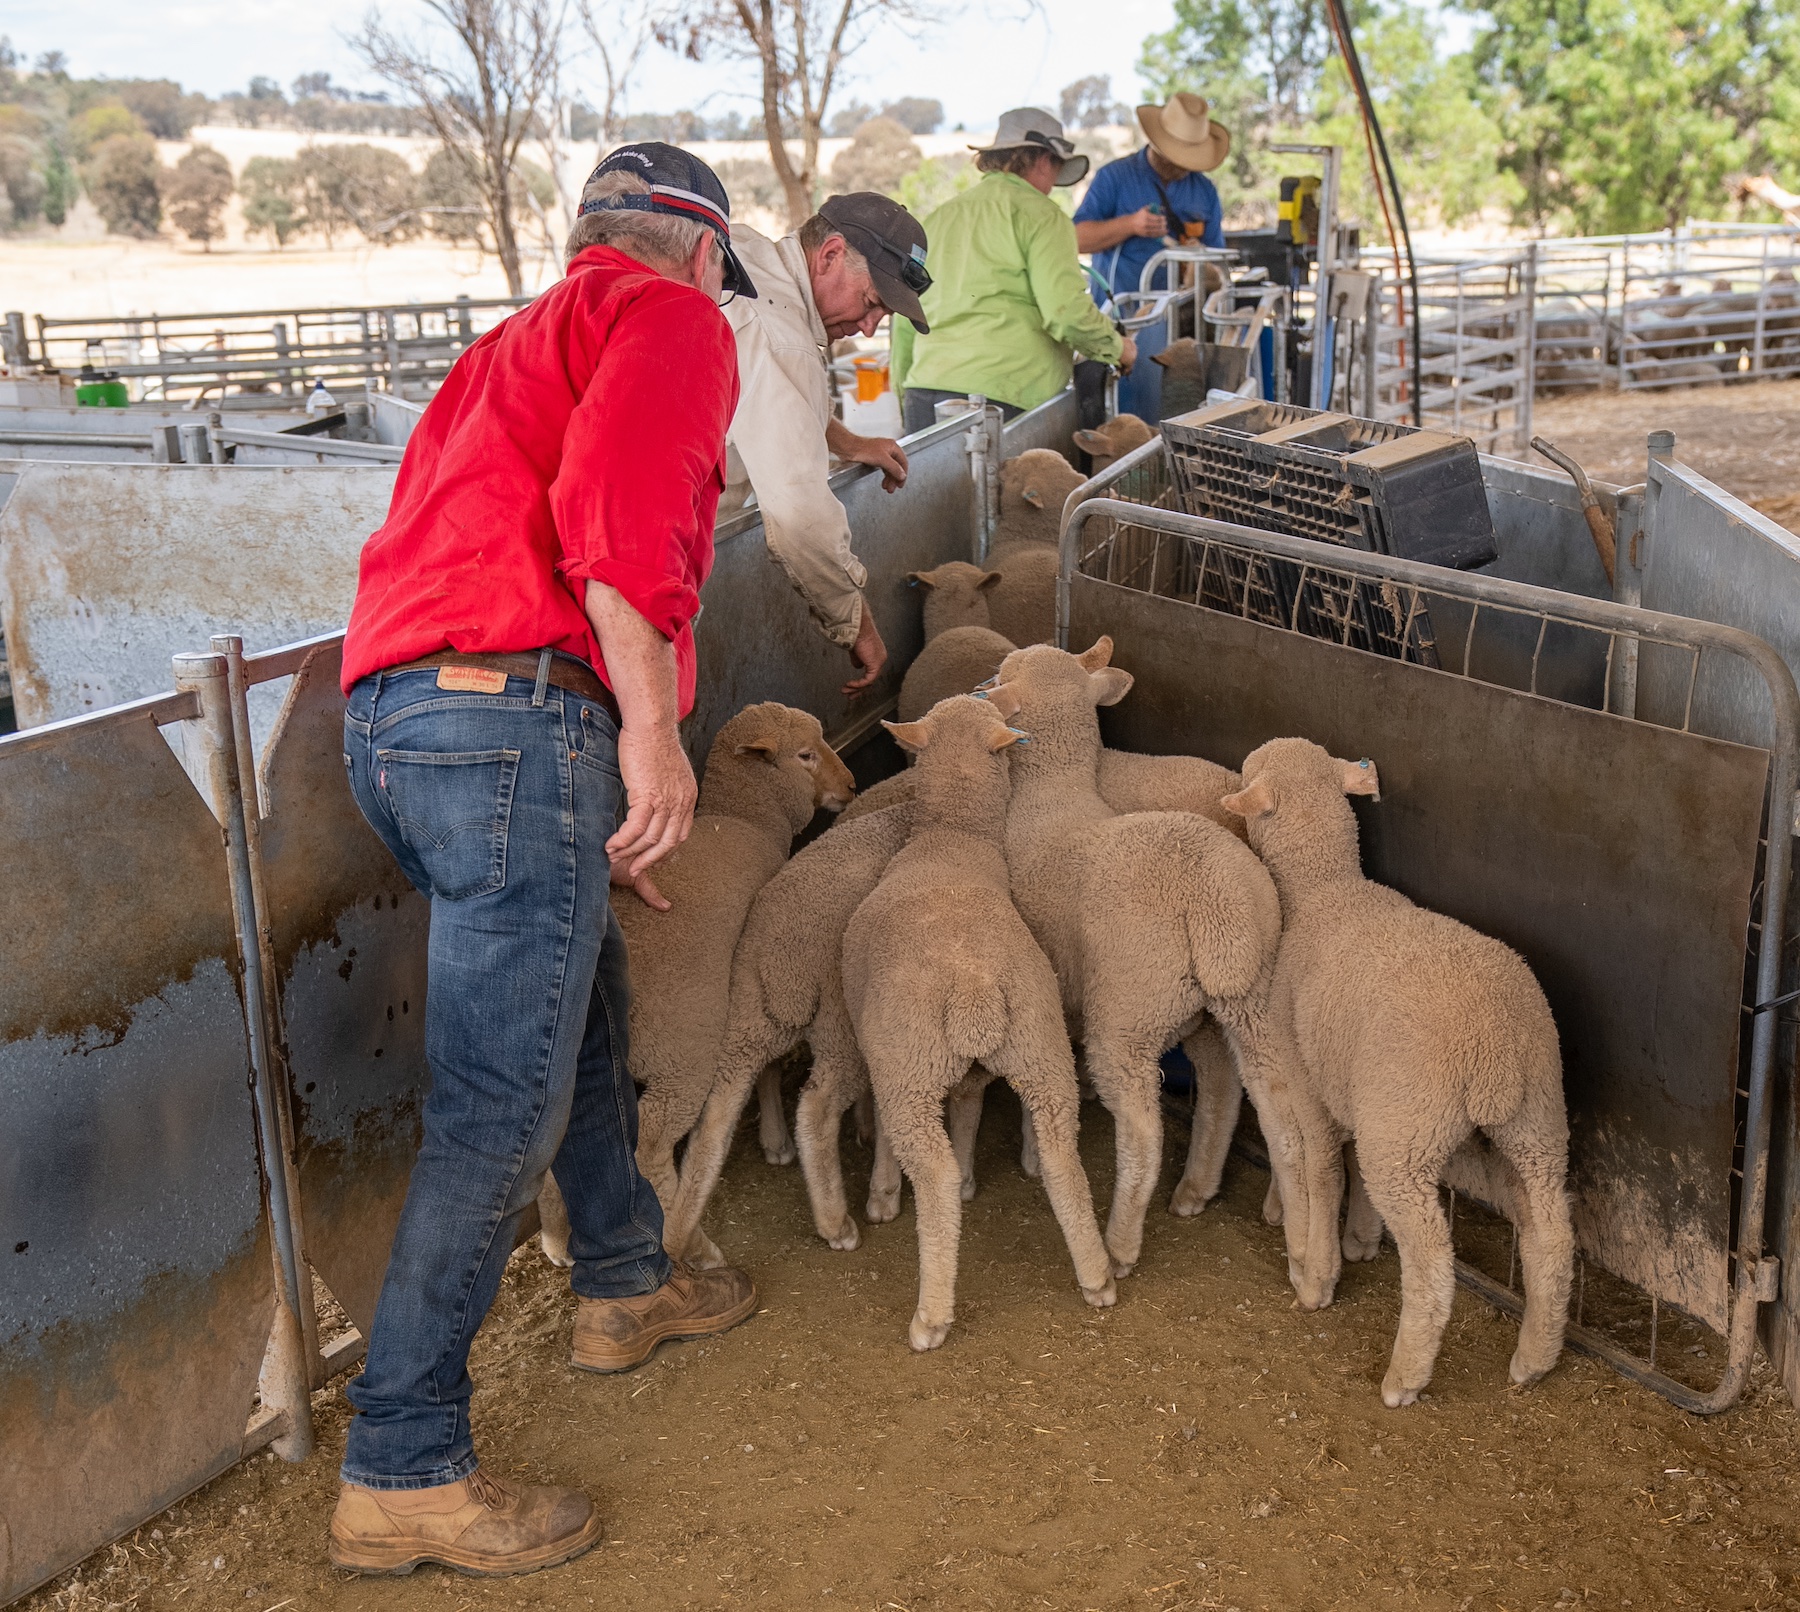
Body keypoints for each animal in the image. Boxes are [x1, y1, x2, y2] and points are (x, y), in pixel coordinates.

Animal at [535, 702, 855, 1267]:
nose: (852, 785)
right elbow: (766, 1064)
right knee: (650, 1145)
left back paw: (556, 1241)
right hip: (682, 1048)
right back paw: (694, 1246)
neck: (748, 817)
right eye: (805, 754)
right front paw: (776, 1138)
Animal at [660, 801, 915, 1265]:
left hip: (746, 1018)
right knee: (816, 1109)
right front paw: (883, 1189)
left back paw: (683, 1237)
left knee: (715, 1117)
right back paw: (837, 1223)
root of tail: (779, 955)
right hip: (840, 1022)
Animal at [842, 695, 1116, 1348]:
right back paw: (1097, 1277)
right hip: (1041, 1047)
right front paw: (971, 1176)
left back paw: (931, 1315)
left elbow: (888, 1130)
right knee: (1063, 1154)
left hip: (911, 1070)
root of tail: (975, 988)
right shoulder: (966, 1073)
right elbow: (967, 1110)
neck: (952, 840)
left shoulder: (884, 1054)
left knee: (930, 1170)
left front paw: (884, 1194)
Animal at [985, 639, 1304, 1280]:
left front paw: (1033, 1151)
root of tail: (1215, 902)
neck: (1049, 796)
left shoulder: (1054, 974)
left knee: (1143, 1133)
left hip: (1131, 1012)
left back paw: (1120, 1245)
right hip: (1250, 1002)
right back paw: (1295, 1251)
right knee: (1267, 1106)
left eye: (1005, 673)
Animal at [1219, 737, 1573, 1407]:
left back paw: (1405, 1377)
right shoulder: (1361, 1091)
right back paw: (1535, 1359)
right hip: (1535, 1120)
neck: (1325, 890)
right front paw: (1360, 1240)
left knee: (1432, 1262)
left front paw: (1318, 1275)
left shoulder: (1310, 1080)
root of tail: (1494, 1048)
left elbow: (1324, 1170)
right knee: (1551, 1233)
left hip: (1409, 1135)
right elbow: (1348, 1166)